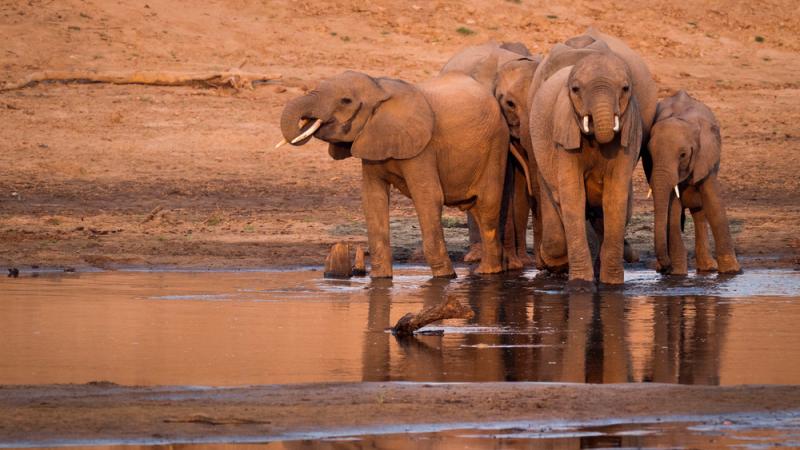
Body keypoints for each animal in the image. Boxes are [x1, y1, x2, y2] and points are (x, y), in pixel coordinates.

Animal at [278, 71, 510, 278]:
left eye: (345, 100)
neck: (379, 87)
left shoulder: (423, 148)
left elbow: (428, 197)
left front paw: (445, 277)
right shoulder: (371, 139)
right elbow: (373, 199)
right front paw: (380, 279)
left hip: (497, 145)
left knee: (487, 207)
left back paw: (486, 272)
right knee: (478, 210)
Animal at [529, 31, 657, 290]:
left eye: (625, 88)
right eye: (575, 89)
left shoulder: (630, 131)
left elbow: (615, 197)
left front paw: (612, 285)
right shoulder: (561, 132)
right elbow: (572, 195)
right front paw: (580, 284)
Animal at [645, 90, 741, 275]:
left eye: (683, 155)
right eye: (649, 155)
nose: (666, 268)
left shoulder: (706, 157)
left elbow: (714, 205)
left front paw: (732, 272)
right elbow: (673, 210)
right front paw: (677, 274)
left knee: (699, 212)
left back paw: (708, 268)